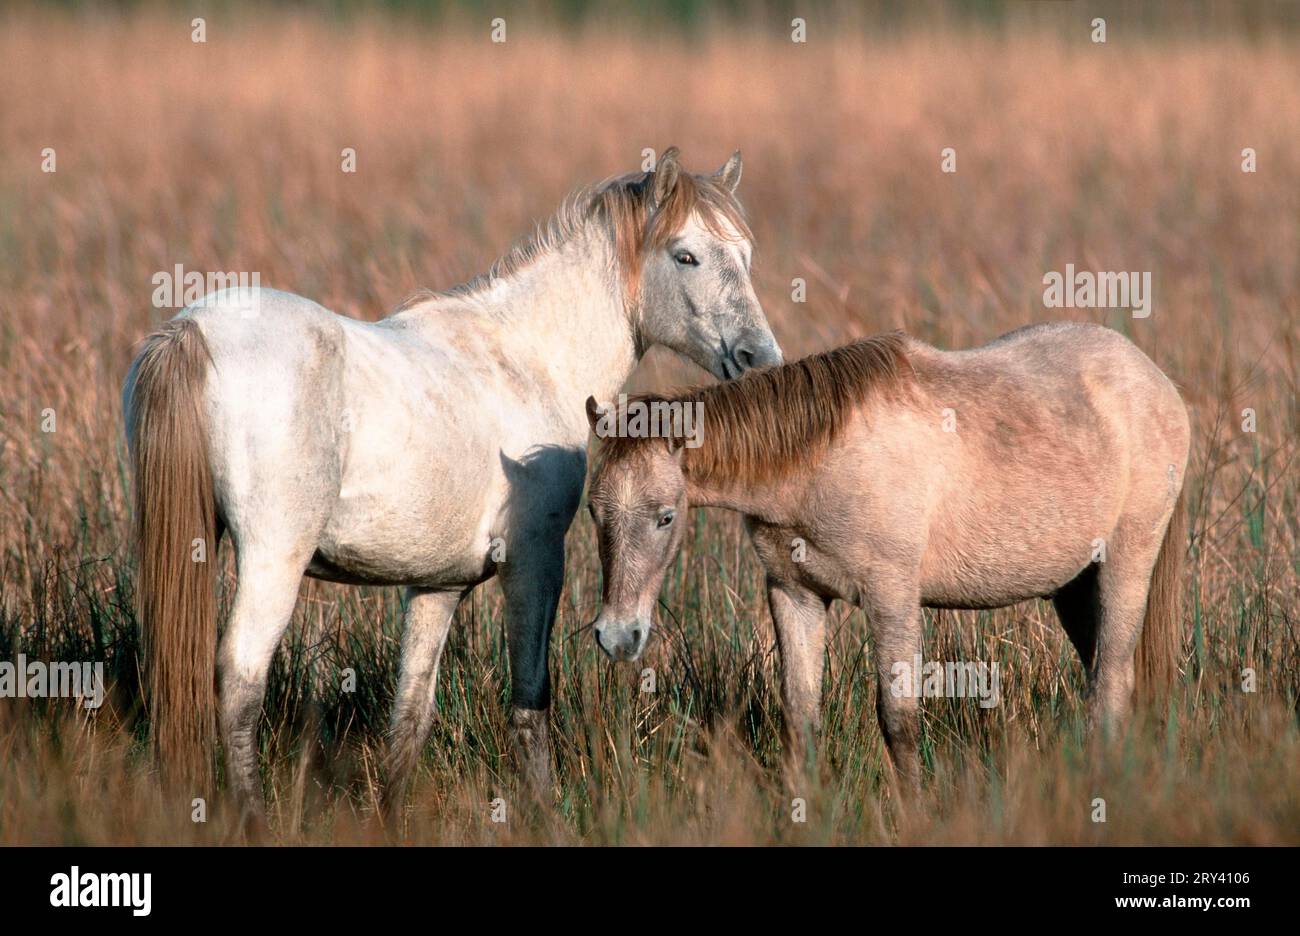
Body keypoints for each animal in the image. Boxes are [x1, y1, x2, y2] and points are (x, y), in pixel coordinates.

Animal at [122, 147, 783, 820]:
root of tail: (193, 332)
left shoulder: (437, 586)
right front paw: (543, 813)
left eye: (746, 256)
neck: (529, 359)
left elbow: (411, 713)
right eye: (686, 255)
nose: (760, 359)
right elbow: (530, 700)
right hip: (272, 561)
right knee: (240, 683)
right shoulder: (534, 562)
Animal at [583, 322, 1189, 786]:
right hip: (1073, 587)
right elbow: (800, 715)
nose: (617, 636)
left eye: (665, 516)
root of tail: (1157, 382)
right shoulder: (795, 595)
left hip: (1126, 567)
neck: (819, 460)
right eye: (592, 512)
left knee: (1110, 685)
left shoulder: (891, 598)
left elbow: (898, 720)